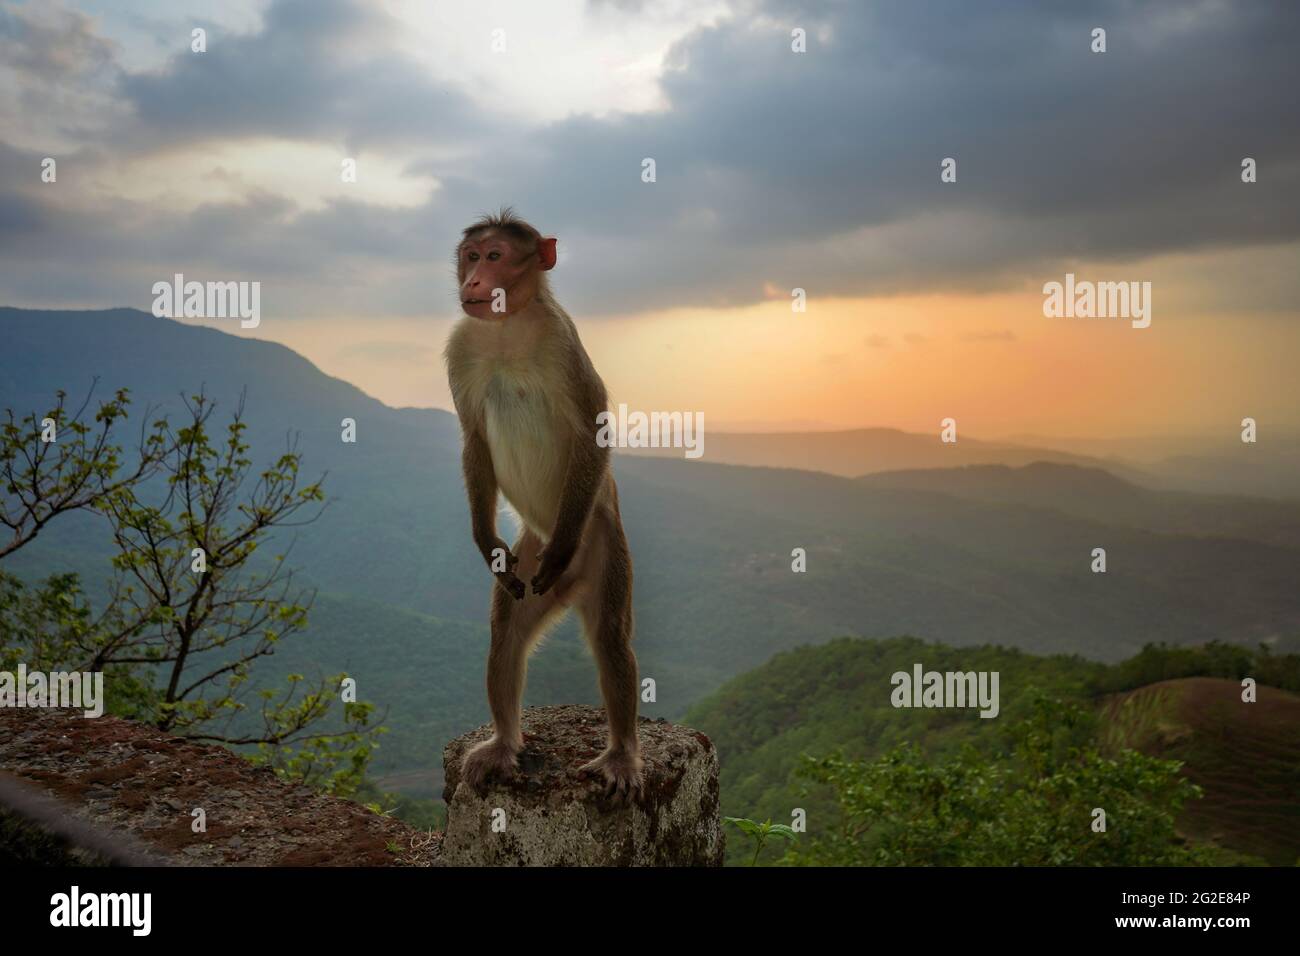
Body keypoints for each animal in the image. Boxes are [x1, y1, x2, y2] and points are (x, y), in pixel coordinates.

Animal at [443, 208, 643, 800]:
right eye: (471, 256)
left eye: (496, 256)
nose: (474, 280)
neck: (507, 328)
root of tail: (571, 583)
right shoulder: (461, 344)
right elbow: (474, 440)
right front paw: (484, 541)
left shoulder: (562, 342)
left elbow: (593, 429)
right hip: (528, 560)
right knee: (507, 631)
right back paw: (505, 742)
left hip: (602, 543)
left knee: (610, 636)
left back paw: (621, 754)